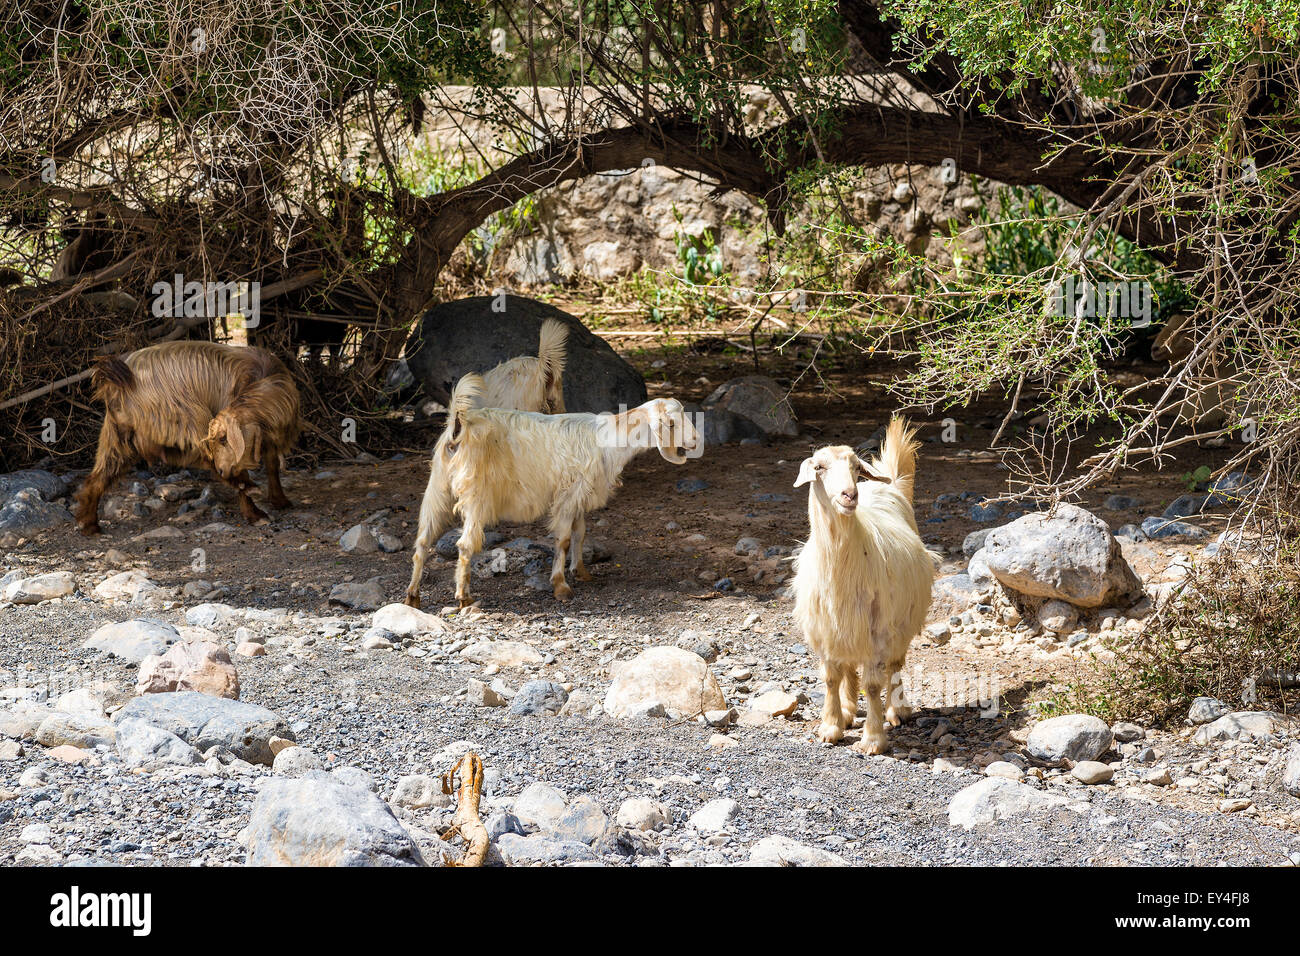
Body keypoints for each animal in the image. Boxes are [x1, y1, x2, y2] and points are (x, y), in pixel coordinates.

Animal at [74, 340, 301, 534]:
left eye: (224, 439)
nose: (224, 469)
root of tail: (125, 381)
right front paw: (254, 512)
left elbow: (272, 465)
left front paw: (280, 500)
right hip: (185, 415)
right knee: (206, 457)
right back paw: (249, 493)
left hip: (118, 437)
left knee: (97, 478)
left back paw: (89, 524)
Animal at [404, 372, 700, 609]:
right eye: (672, 422)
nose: (696, 440)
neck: (608, 441)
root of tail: (458, 426)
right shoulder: (568, 495)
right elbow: (564, 539)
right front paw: (560, 585)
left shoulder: (578, 493)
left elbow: (581, 534)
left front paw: (581, 572)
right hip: (477, 494)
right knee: (464, 545)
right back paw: (463, 597)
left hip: (438, 487)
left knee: (422, 541)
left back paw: (412, 596)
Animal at [789, 418, 938, 755]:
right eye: (818, 467)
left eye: (856, 466)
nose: (849, 495)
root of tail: (888, 485)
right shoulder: (825, 629)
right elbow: (831, 678)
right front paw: (831, 726)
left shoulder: (878, 628)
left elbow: (872, 685)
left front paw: (873, 739)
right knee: (848, 668)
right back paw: (846, 710)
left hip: (902, 622)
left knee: (894, 667)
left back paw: (897, 710)